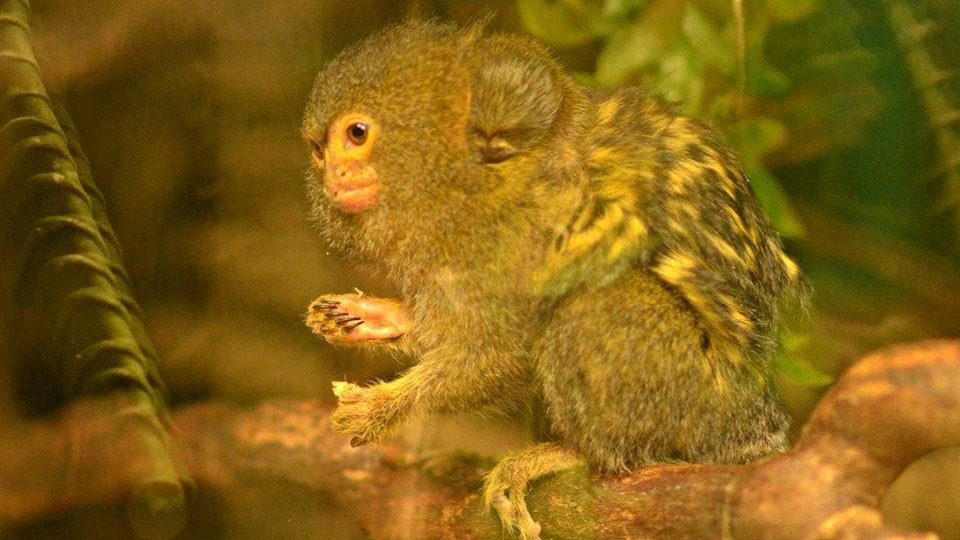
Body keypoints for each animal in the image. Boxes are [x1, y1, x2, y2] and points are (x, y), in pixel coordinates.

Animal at [302, 20, 803, 539]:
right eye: (318, 149)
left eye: (357, 134)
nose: (335, 173)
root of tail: (752, 422)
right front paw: (373, 317)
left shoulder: (519, 237)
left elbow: (504, 351)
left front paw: (383, 409)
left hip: (694, 398)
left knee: (591, 304)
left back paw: (574, 452)